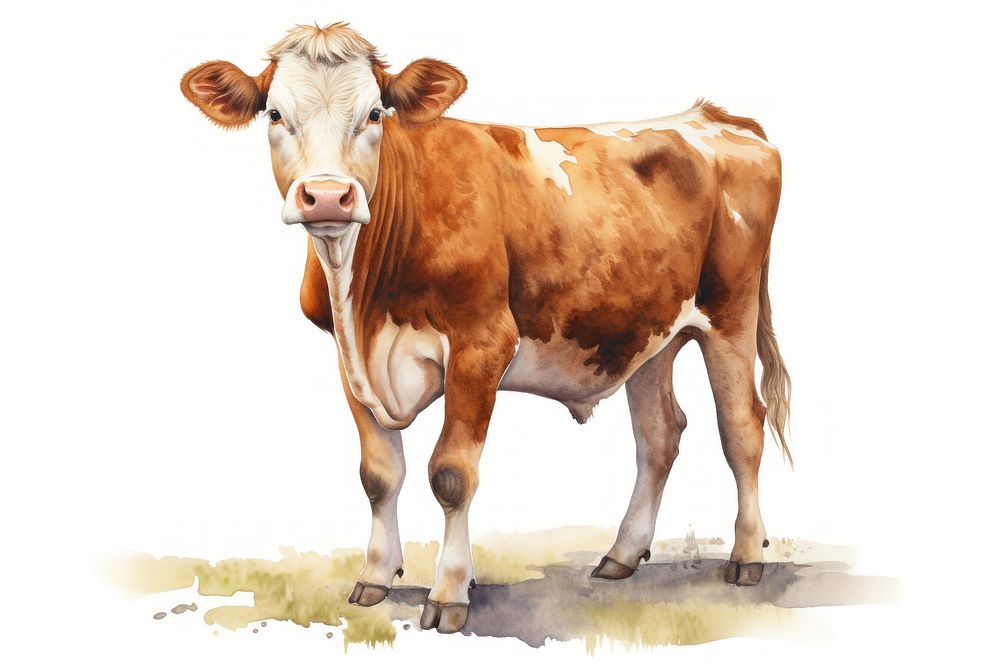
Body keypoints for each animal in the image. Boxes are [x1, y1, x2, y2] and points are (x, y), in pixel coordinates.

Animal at [181, 22, 791, 634]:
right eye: (275, 114)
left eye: (375, 113)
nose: (327, 196)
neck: (364, 304)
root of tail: (715, 117)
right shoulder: (348, 358)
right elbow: (379, 474)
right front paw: (375, 575)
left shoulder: (482, 344)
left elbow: (451, 474)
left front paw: (450, 591)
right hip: (647, 331)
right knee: (660, 434)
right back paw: (621, 555)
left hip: (730, 313)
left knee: (742, 426)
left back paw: (747, 556)